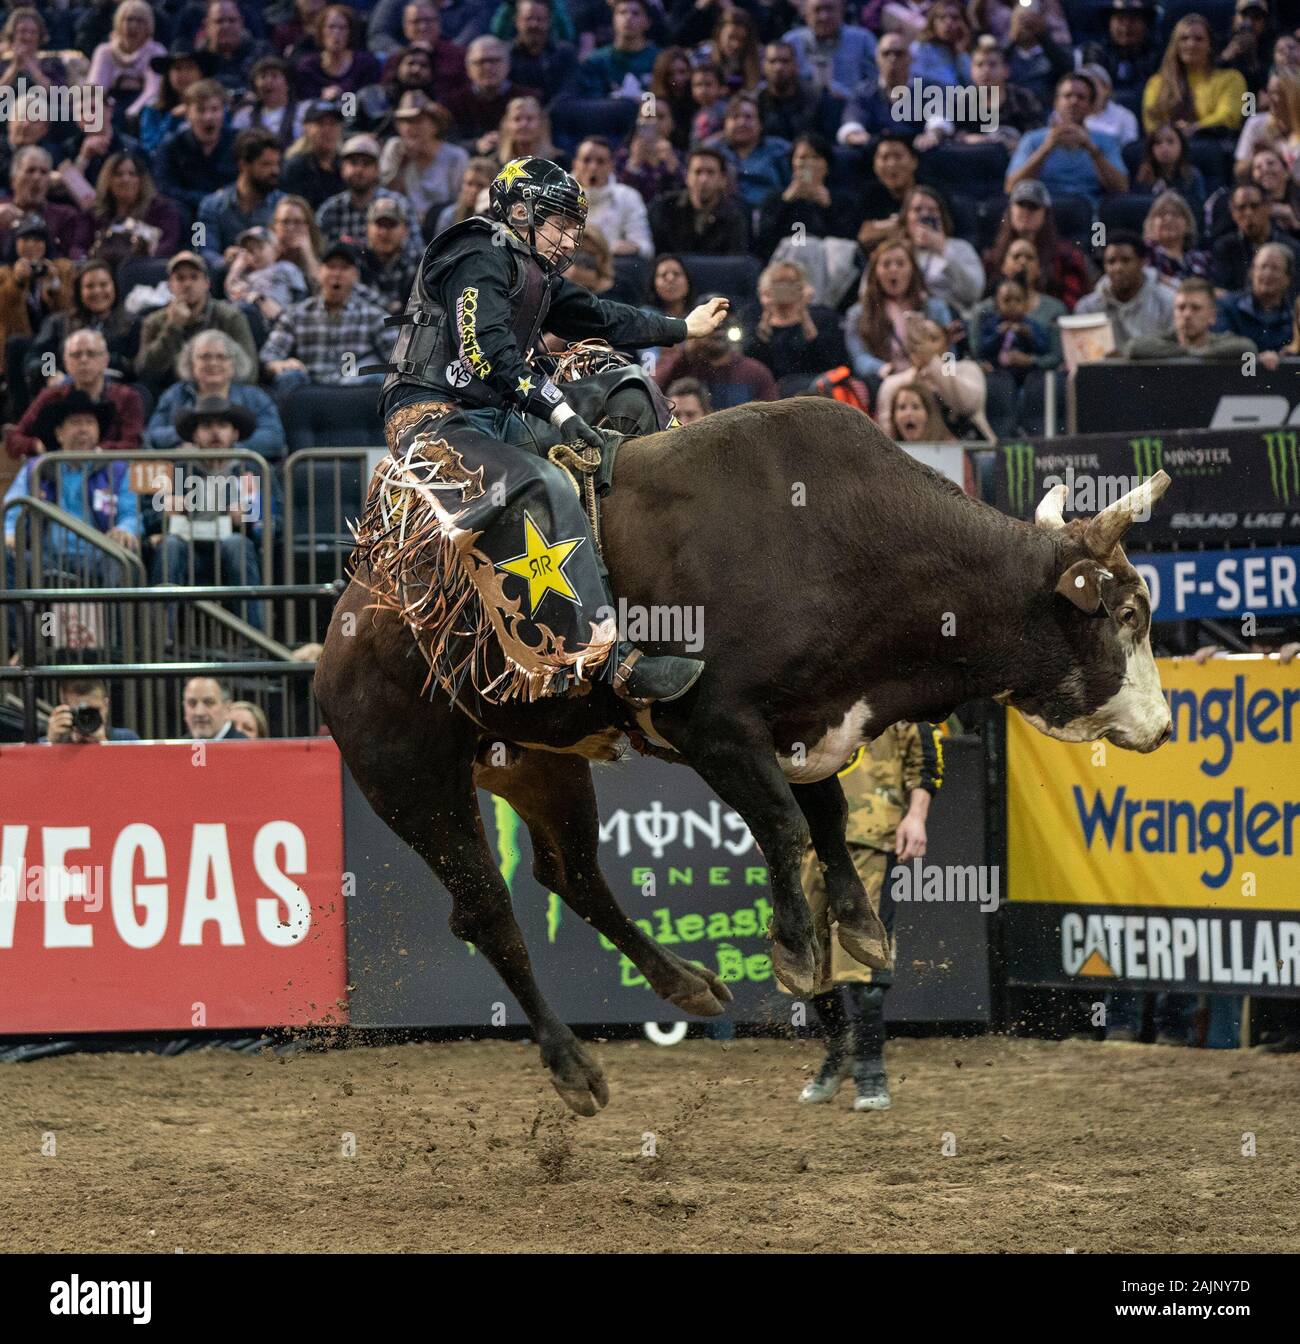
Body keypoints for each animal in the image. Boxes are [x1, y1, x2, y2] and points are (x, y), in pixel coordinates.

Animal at [316, 397, 1172, 1114]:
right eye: (1128, 613)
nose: (1165, 728)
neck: (844, 540)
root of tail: (348, 628)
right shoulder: (715, 730)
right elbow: (785, 826)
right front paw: (794, 949)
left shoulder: (805, 724)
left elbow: (825, 815)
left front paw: (859, 926)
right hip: (413, 783)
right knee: (489, 909)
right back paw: (573, 1067)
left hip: (537, 761)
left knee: (574, 875)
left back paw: (687, 984)